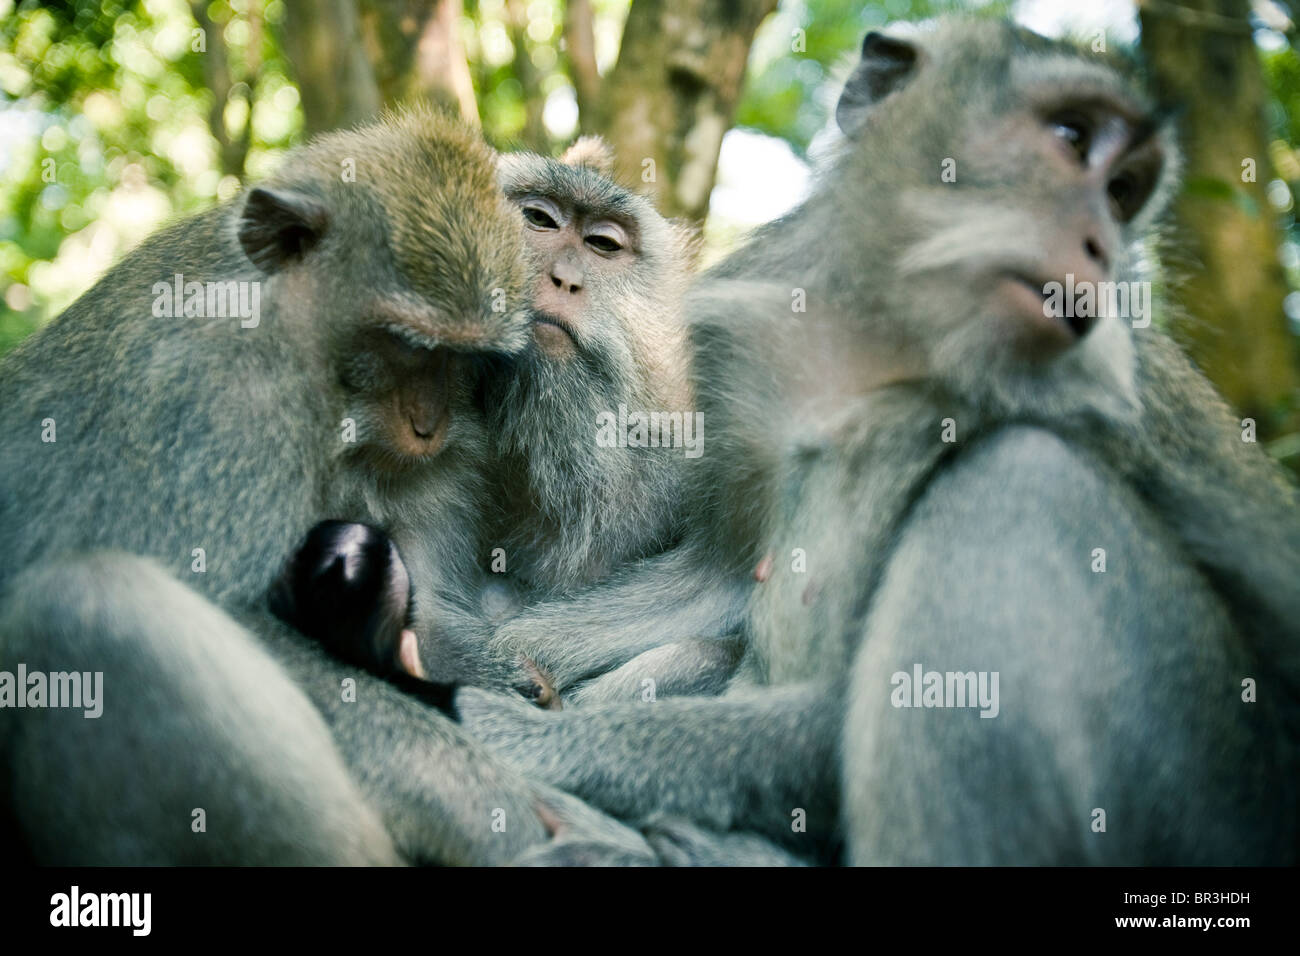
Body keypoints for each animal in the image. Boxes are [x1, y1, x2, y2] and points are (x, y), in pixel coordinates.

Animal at [0, 106, 659, 865]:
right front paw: (488, 805)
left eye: (467, 357)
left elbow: (428, 606)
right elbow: (241, 614)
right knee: (94, 608)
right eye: (408, 345)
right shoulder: (215, 389)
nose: (428, 423)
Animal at [456, 19, 1300, 866]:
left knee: (1023, 480)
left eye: (1124, 192)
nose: (1103, 247)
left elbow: (831, 706)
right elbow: (717, 581)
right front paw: (490, 654)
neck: (882, 335)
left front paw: (509, 733)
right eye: (1070, 137)